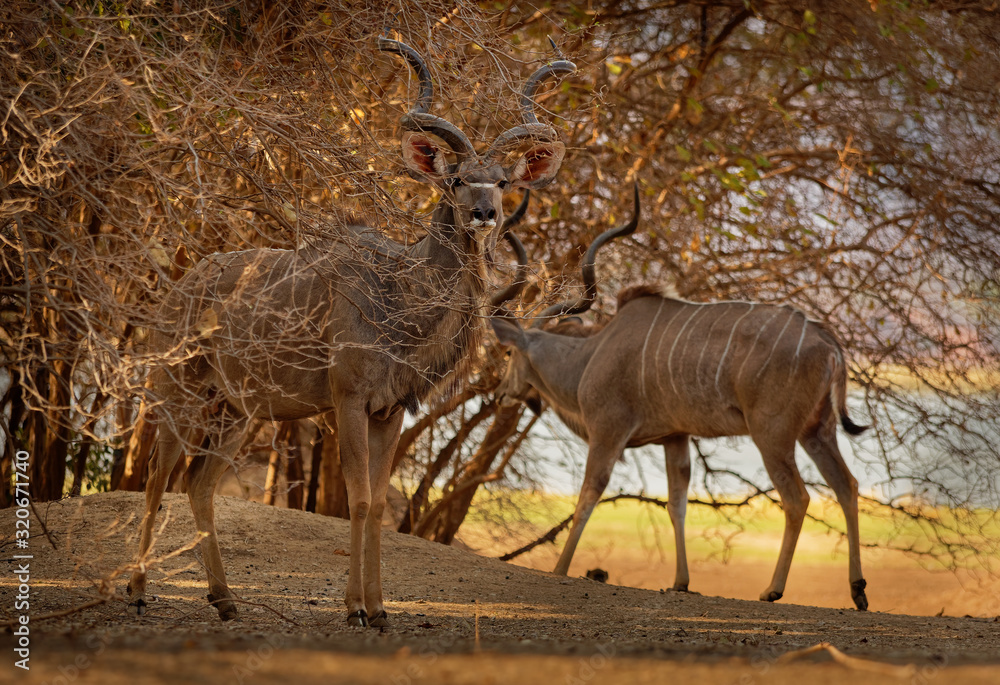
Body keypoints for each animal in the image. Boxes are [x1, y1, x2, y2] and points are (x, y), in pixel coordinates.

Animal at [128, 36, 573, 627]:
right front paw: (356, 609)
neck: (401, 292)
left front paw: (380, 609)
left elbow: (380, 502)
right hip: (179, 393)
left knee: (197, 484)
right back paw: (136, 591)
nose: (483, 213)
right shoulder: (349, 400)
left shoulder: (389, 410)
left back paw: (225, 600)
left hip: (237, 412)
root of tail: (181, 286)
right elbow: (359, 498)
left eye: (502, 181)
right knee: (157, 476)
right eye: (455, 178)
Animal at [491, 186, 870, 611]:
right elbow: (677, 503)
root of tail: (826, 340)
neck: (590, 355)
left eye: (509, 354)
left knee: (798, 497)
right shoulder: (675, 437)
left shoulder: (609, 429)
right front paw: (680, 582)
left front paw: (560, 568)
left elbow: (590, 492)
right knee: (847, 485)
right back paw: (857, 590)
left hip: (772, 434)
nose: (502, 394)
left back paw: (773, 589)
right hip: (816, 430)